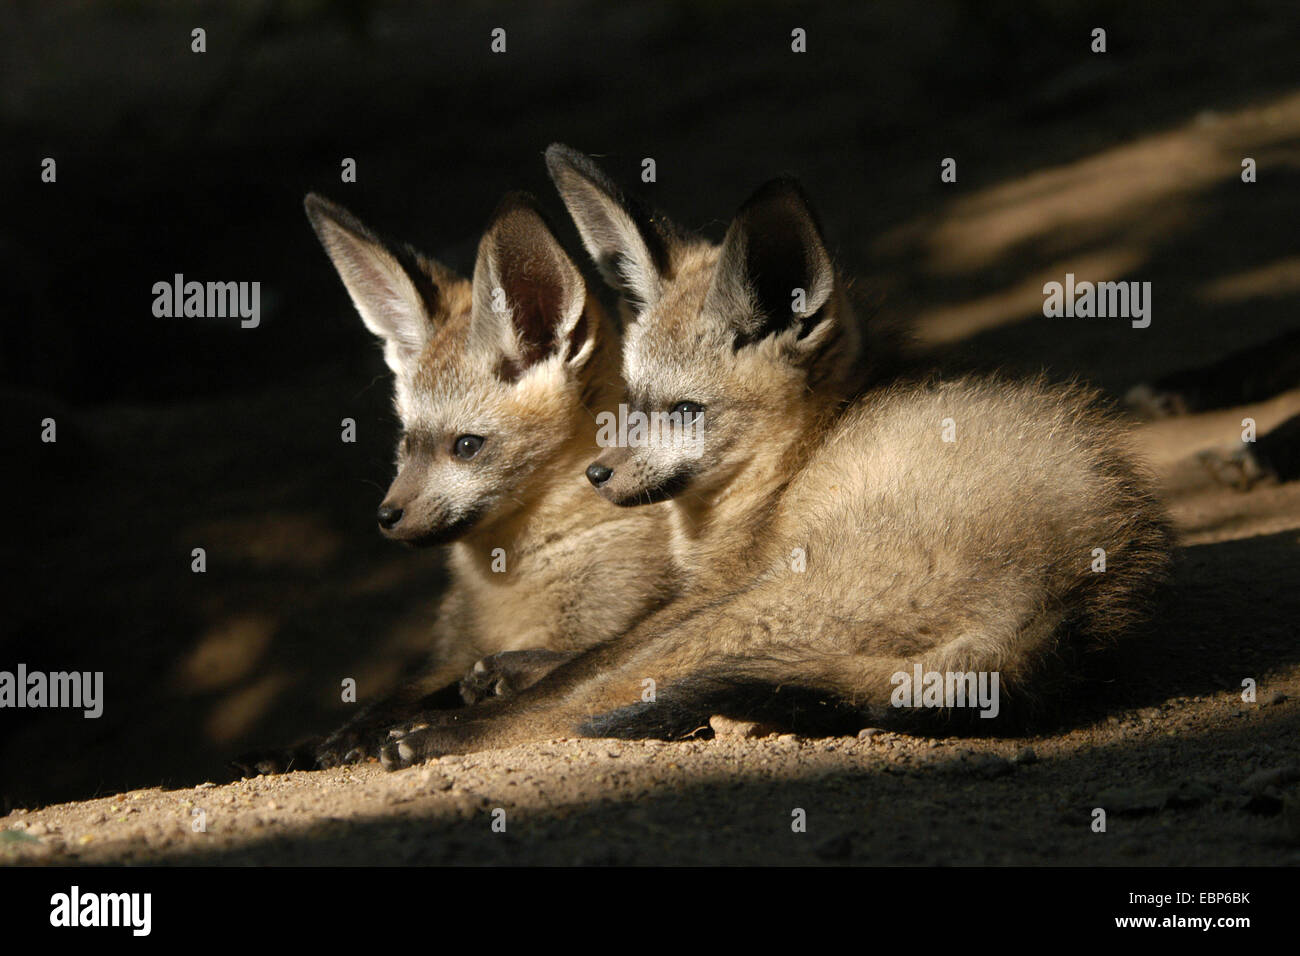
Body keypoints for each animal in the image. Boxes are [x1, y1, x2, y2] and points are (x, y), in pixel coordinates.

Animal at [234, 191, 674, 773]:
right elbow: (393, 696)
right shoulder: (455, 648)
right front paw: (311, 744)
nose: (386, 517)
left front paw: (373, 736)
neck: (513, 584)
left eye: (466, 446)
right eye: (405, 444)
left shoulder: (607, 619)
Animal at [373, 146, 1174, 769]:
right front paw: (504, 668)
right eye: (630, 401)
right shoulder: (695, 592)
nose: (597, 476)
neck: (794, 462)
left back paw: (438, 734)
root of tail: (1070, 605)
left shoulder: (716, 589)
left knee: (594, 701)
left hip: (761, 605)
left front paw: (483, 696)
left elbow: (589, 667)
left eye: (685, 412)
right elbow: (594, 649)